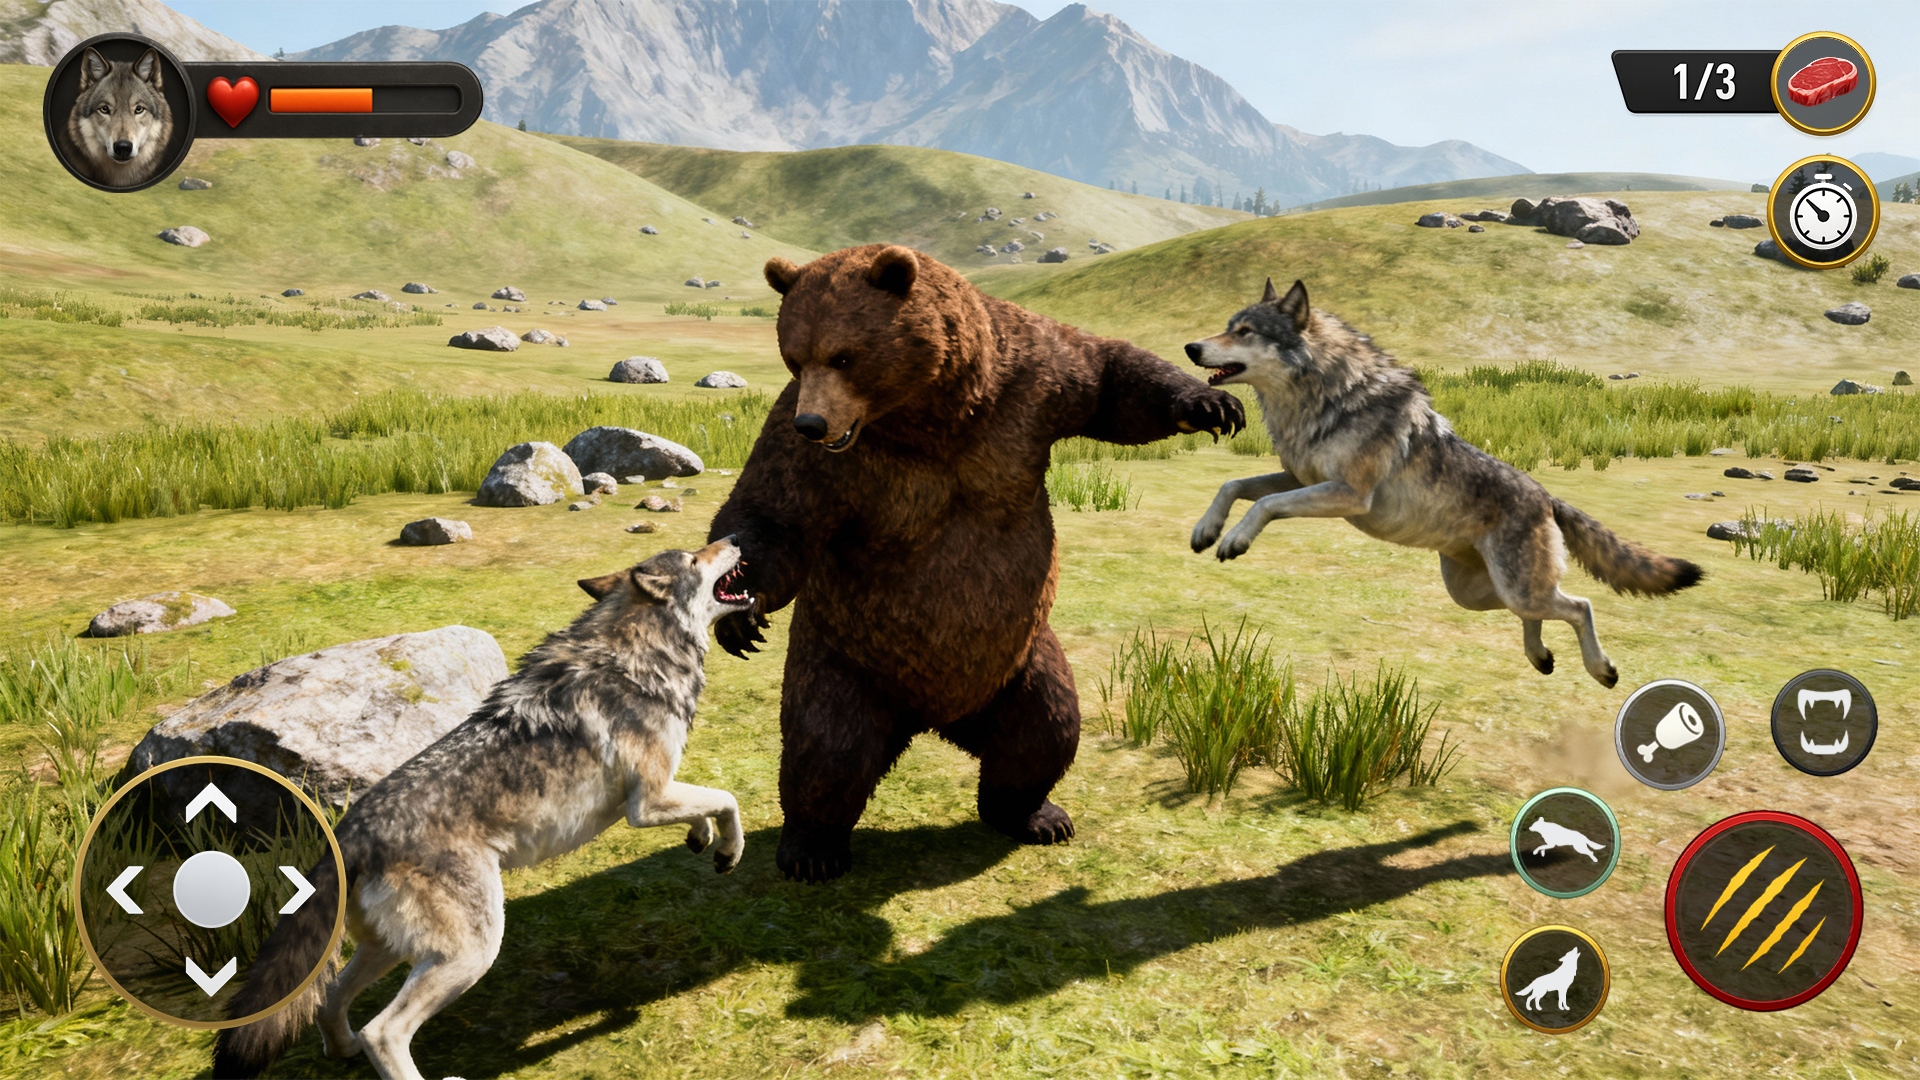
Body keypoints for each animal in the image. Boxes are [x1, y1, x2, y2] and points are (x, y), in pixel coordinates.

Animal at [212, 540, 756, 1080]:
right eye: (695, 558)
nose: (733, 539)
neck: (635, 656)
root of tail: (349, 836)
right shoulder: (647, 801)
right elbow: (728, 799)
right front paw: (729, 851)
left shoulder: (661, 794)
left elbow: (708, 804)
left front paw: (702, 837)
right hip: (471, 955)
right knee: (382, 1032)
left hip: (389, 951)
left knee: (329, 1003)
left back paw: (341, 1051)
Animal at [1186, 279, 1702, 687]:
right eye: (1229, 325)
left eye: (1245, 332)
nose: (1191, 348)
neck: (1326, 397)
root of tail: (1547, 497)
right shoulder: (1297, 477)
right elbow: (1233, 484)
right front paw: (1206, 530)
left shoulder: (1347, 494)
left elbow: (1265, 505)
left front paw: (1234, 540)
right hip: (1478, 593)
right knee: (1539, 613)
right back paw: (1540, 657)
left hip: (1513, 587)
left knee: (1581, 605)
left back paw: (1602, 669)